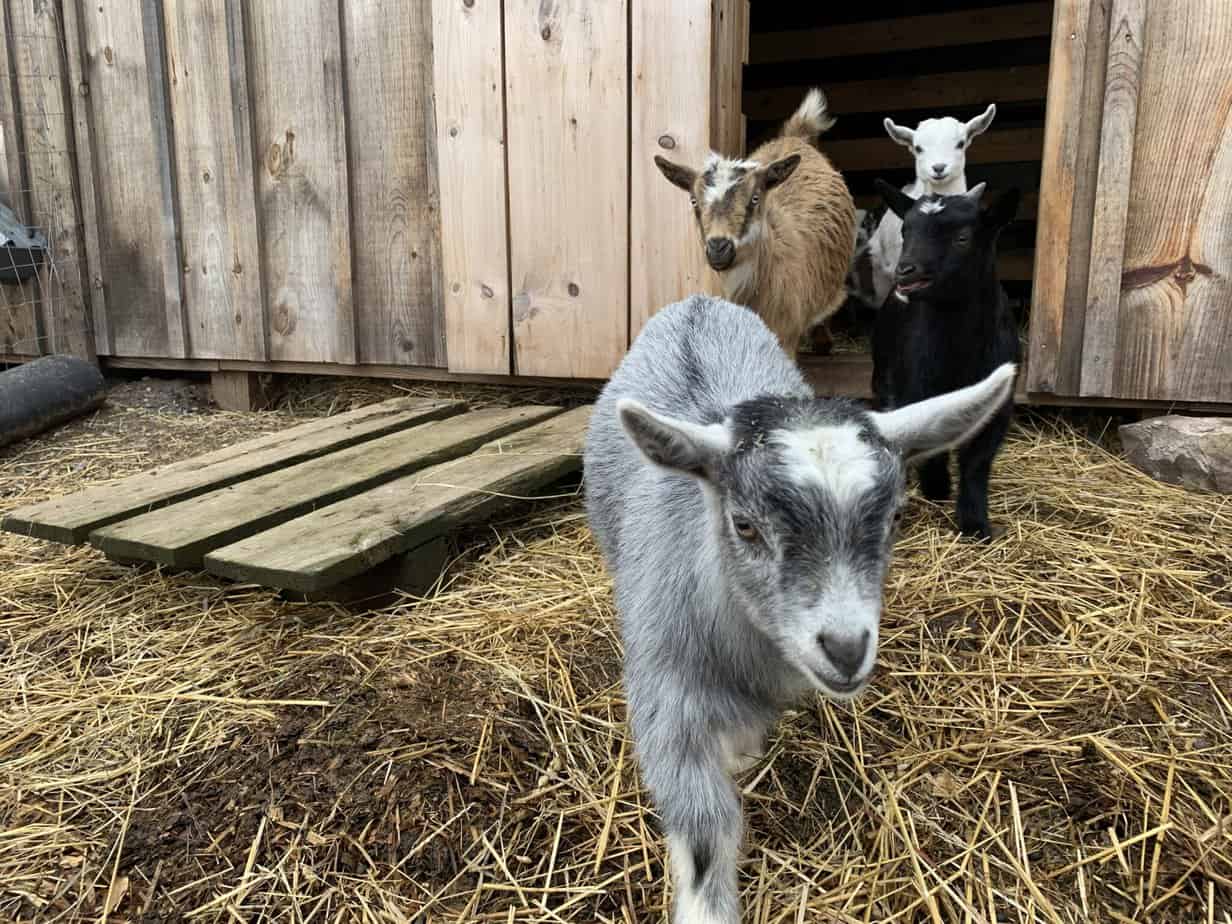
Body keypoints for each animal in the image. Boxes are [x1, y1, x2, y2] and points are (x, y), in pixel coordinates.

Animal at [584, 294, 1017, 924]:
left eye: (894, 517)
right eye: (744, 525)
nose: (845, 648)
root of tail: (699, 303)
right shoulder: (668, 693)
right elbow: (705, 831)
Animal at [871, 180, 1021, 539]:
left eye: (963, 238)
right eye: (906, 230)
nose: (905, 270)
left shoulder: (1000, 404)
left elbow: (977, 462)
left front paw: (976, 524)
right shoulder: (915, 386)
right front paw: (936, 488)